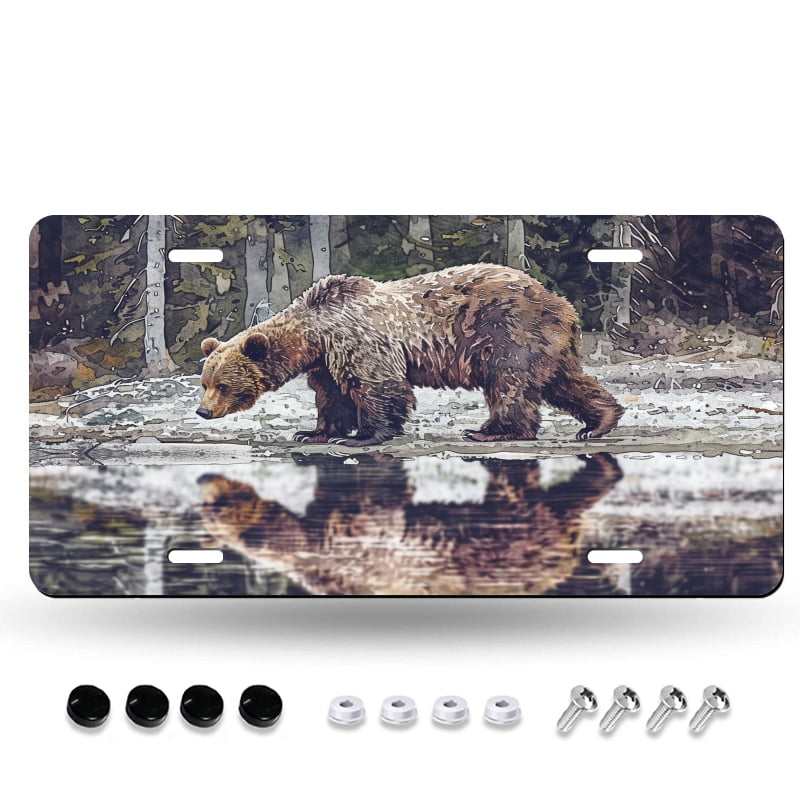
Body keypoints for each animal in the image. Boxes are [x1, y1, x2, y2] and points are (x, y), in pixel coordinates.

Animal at [196, 263, 624, 445]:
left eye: (223, 385)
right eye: (205, 382)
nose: (202, 411)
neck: (316, 332)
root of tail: (561, 303)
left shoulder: (359, 341)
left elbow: (376, 386)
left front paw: (363, 436)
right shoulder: (327, 359)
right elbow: (331, 395)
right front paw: (313, 432)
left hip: (505, 332)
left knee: (509, 384)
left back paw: (491, 430)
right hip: (543, 343)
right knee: (563, 381)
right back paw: (598, 422)